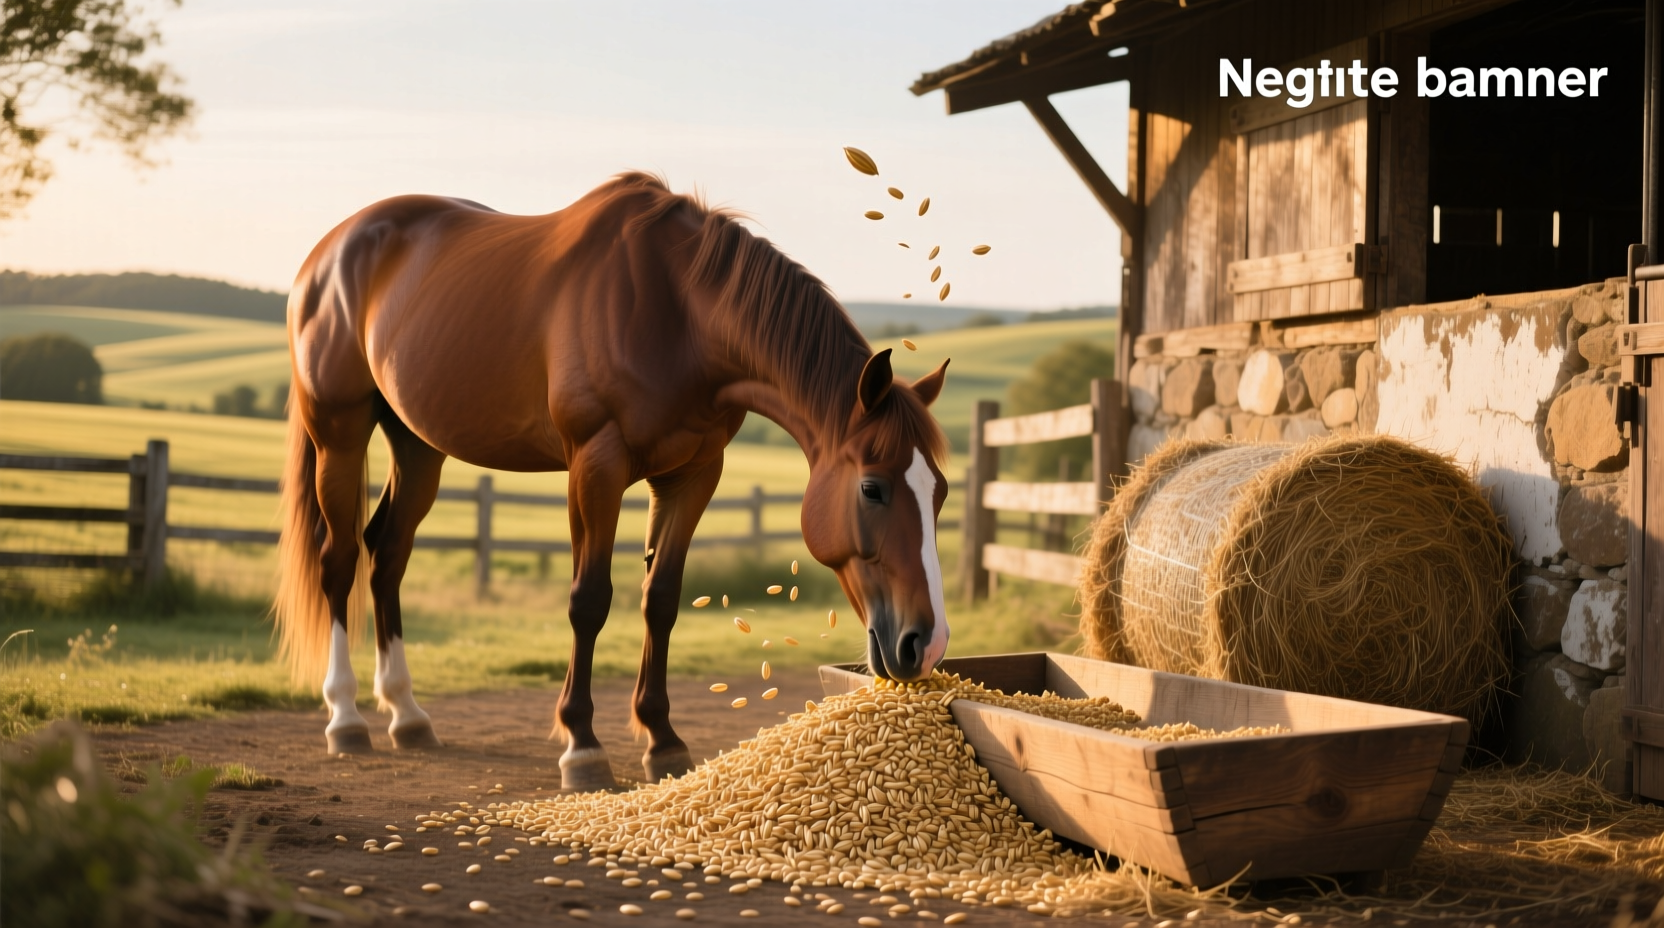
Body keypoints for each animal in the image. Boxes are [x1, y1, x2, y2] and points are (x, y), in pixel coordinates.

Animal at [273, 173, 952, 789]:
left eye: (940, 492)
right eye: (872, 488)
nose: (927, 643)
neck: (678, 316)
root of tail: (327, 253)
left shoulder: (692, 475)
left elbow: (661, 599)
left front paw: (663, 740)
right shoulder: (596, 465)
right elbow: (589, 600)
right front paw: (582, 746)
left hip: (418, 447)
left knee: (387, 555)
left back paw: (408, 715)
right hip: (340, 433)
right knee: (339, 560)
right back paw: (346, 719)